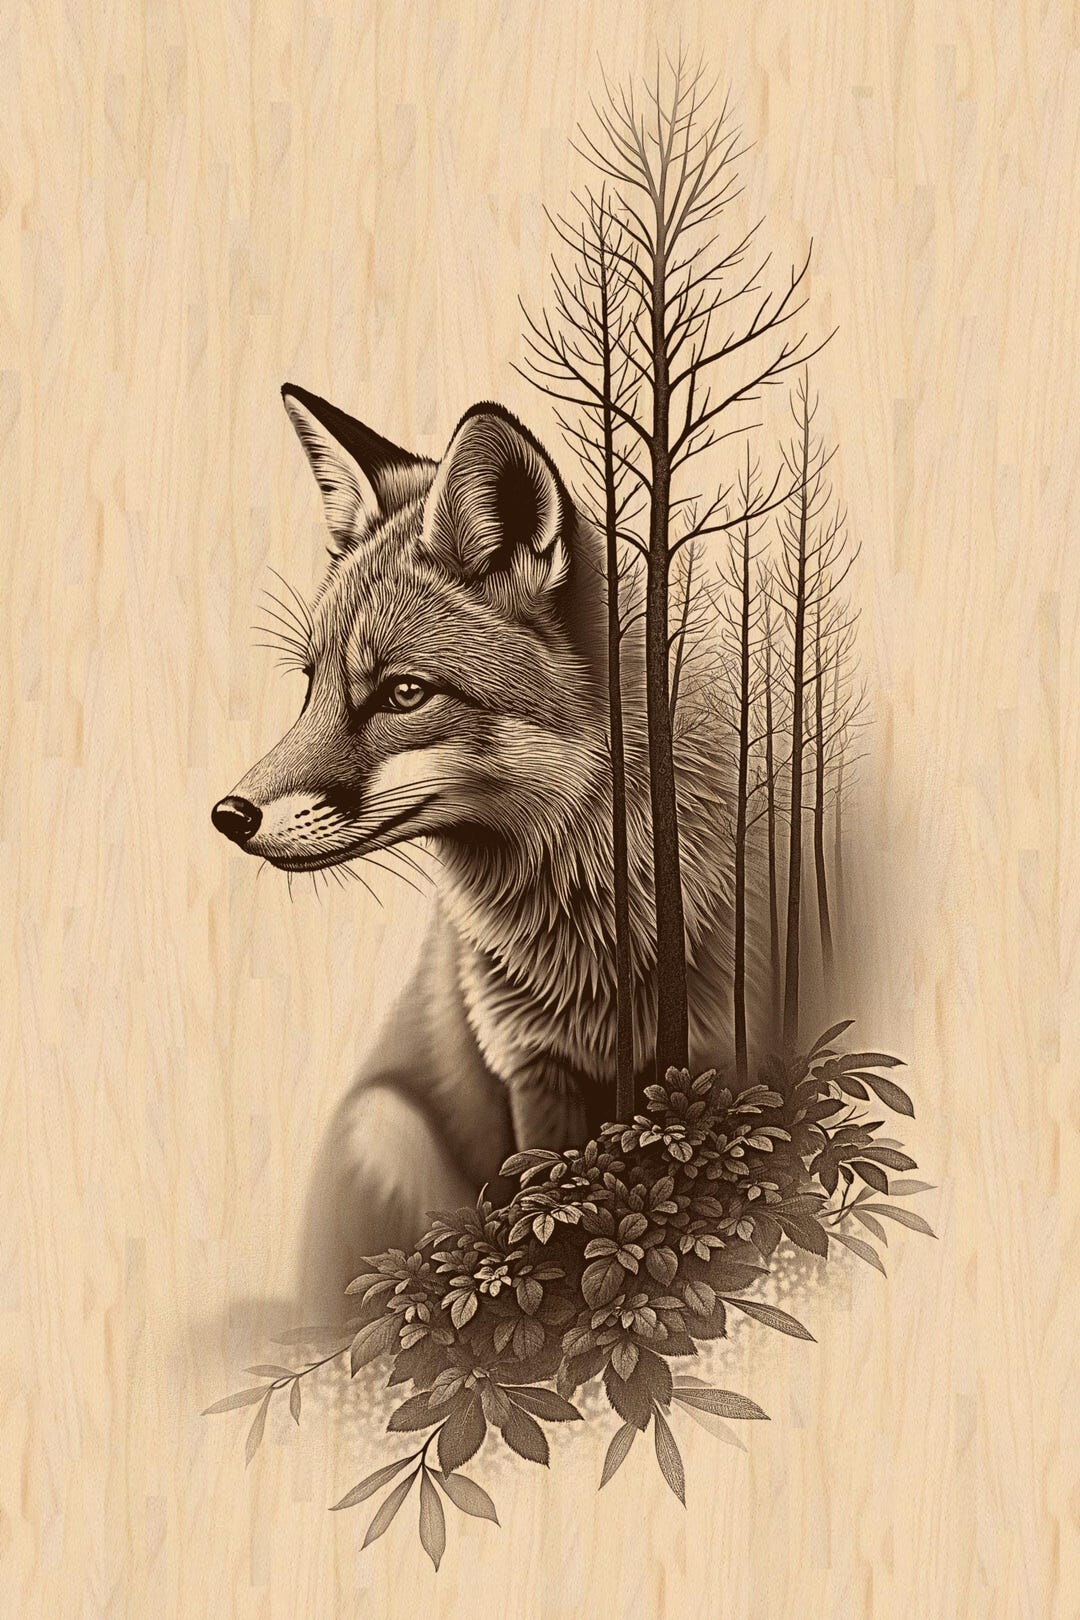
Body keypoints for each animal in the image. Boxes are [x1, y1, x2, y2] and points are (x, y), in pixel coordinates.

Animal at [213, 384, 760, 1318]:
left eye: (402, 693)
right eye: (311, 686)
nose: (228, 814)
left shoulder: (724, 1052)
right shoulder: (531, 1066)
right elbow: (555, 1216)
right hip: (386, 1129)